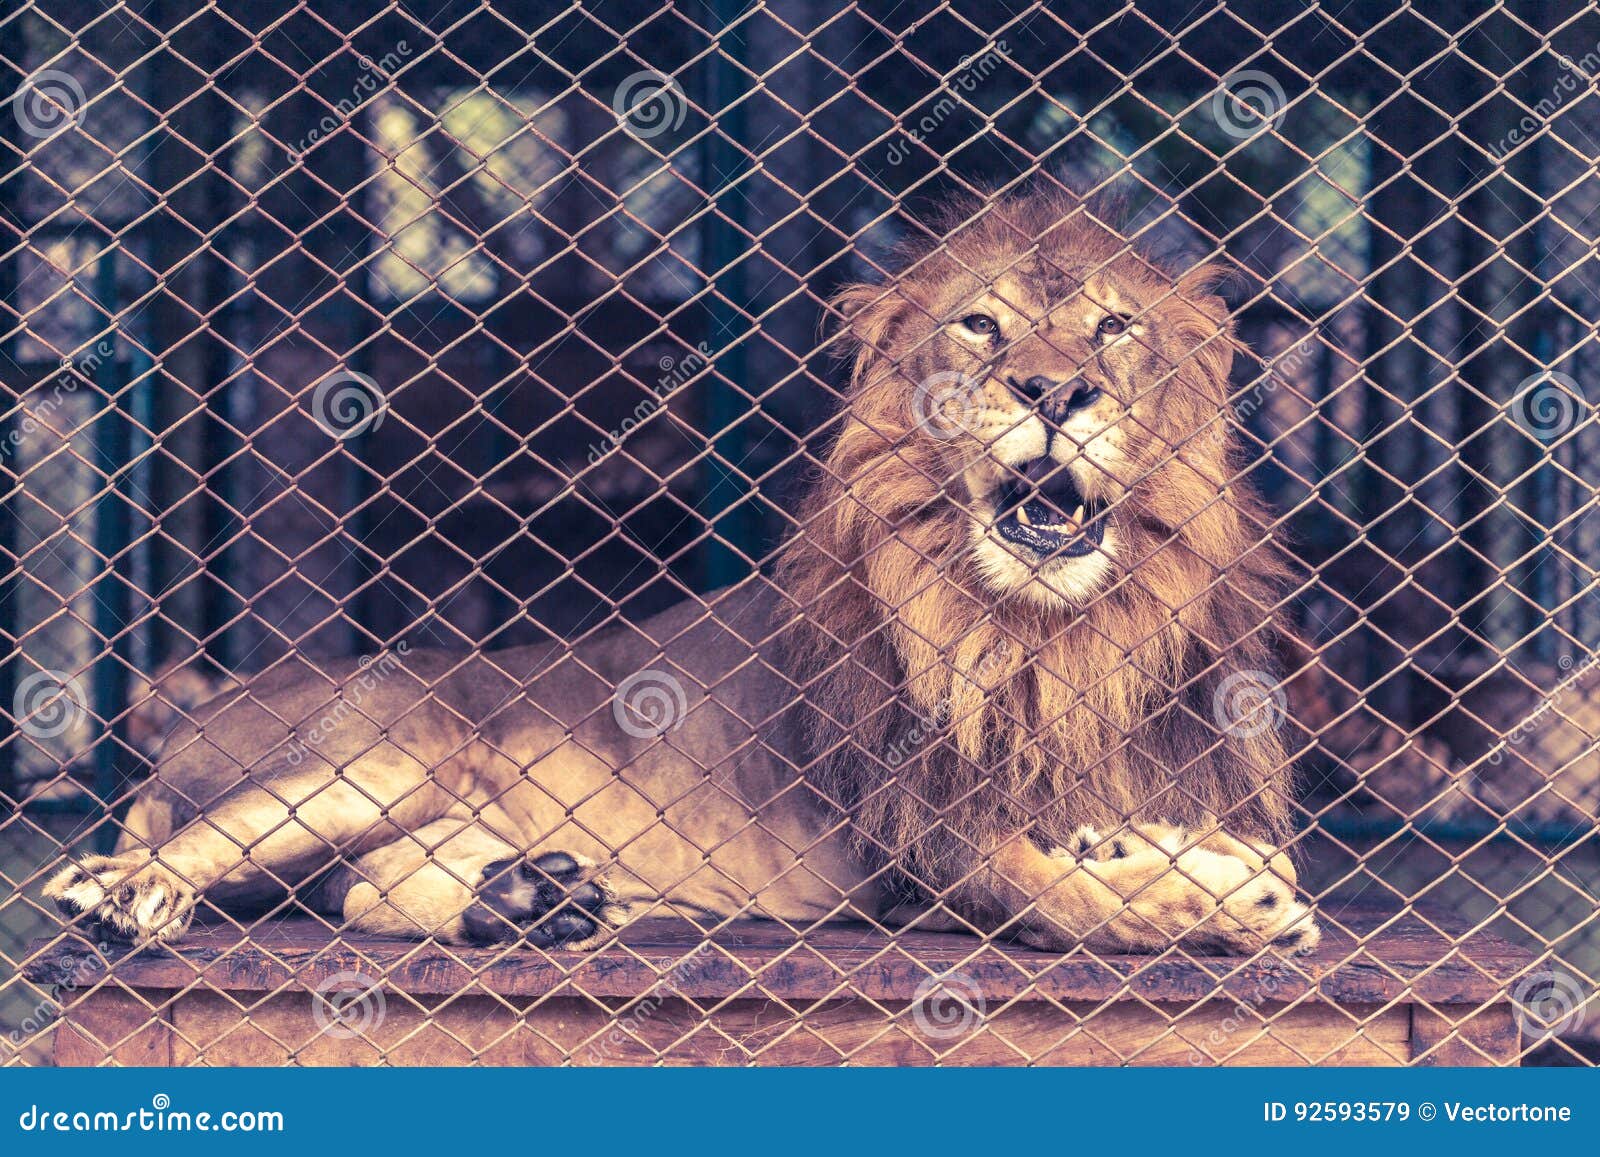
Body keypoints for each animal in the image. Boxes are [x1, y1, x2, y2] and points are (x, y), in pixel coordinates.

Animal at [46, 188, 1319, 956]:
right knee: (163, 846)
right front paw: (1222, 901)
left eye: (1111, 329)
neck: (1059, 632)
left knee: (364, 892)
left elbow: (1148, 836)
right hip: (388, 738)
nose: (1055, 390)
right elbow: (1059, 896)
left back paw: (534, 897)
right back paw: (118, 894)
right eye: (979, 326)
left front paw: (1198, 861)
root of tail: (188, 716)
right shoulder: (913, 841)